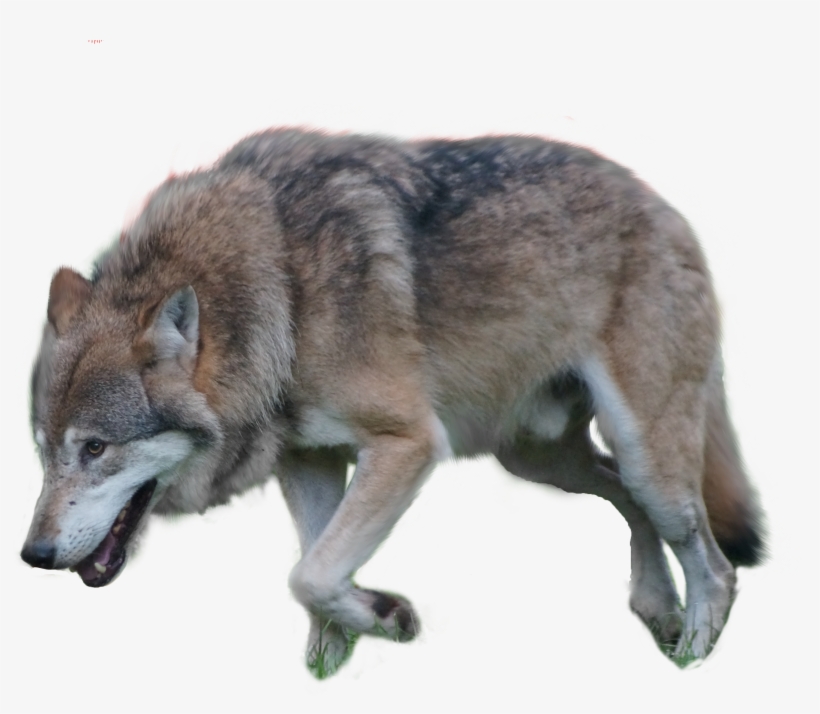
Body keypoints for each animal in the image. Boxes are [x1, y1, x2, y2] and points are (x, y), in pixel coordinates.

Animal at [21, 129, 764, 676]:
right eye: (44, 451)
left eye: (95, 447)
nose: (32, 554)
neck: (281, 295)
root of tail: (664, 206)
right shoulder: (309, 461)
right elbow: (315, 569)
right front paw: (335, 656)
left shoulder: (408, 441)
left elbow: (310, 574)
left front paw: (386, 616)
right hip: (540, 461)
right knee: (629, 503)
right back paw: (658, 610)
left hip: (643, 454)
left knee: (716, 566)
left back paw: (693, 657)